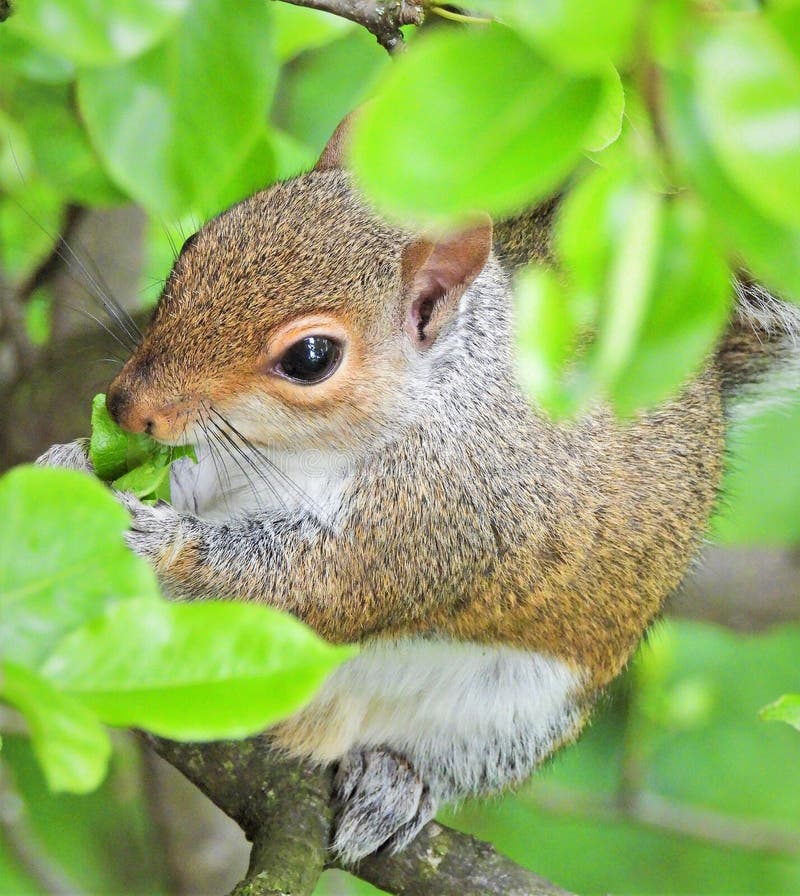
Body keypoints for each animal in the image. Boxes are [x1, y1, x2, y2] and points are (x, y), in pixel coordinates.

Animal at [38, 114, 800, 864]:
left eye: (311, 357)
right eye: (199, 243)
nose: (127, 406)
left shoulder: (443, 512)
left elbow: (310, 584)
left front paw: (153, 535)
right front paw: (70, 464)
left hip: (516, 718)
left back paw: (395, 786)